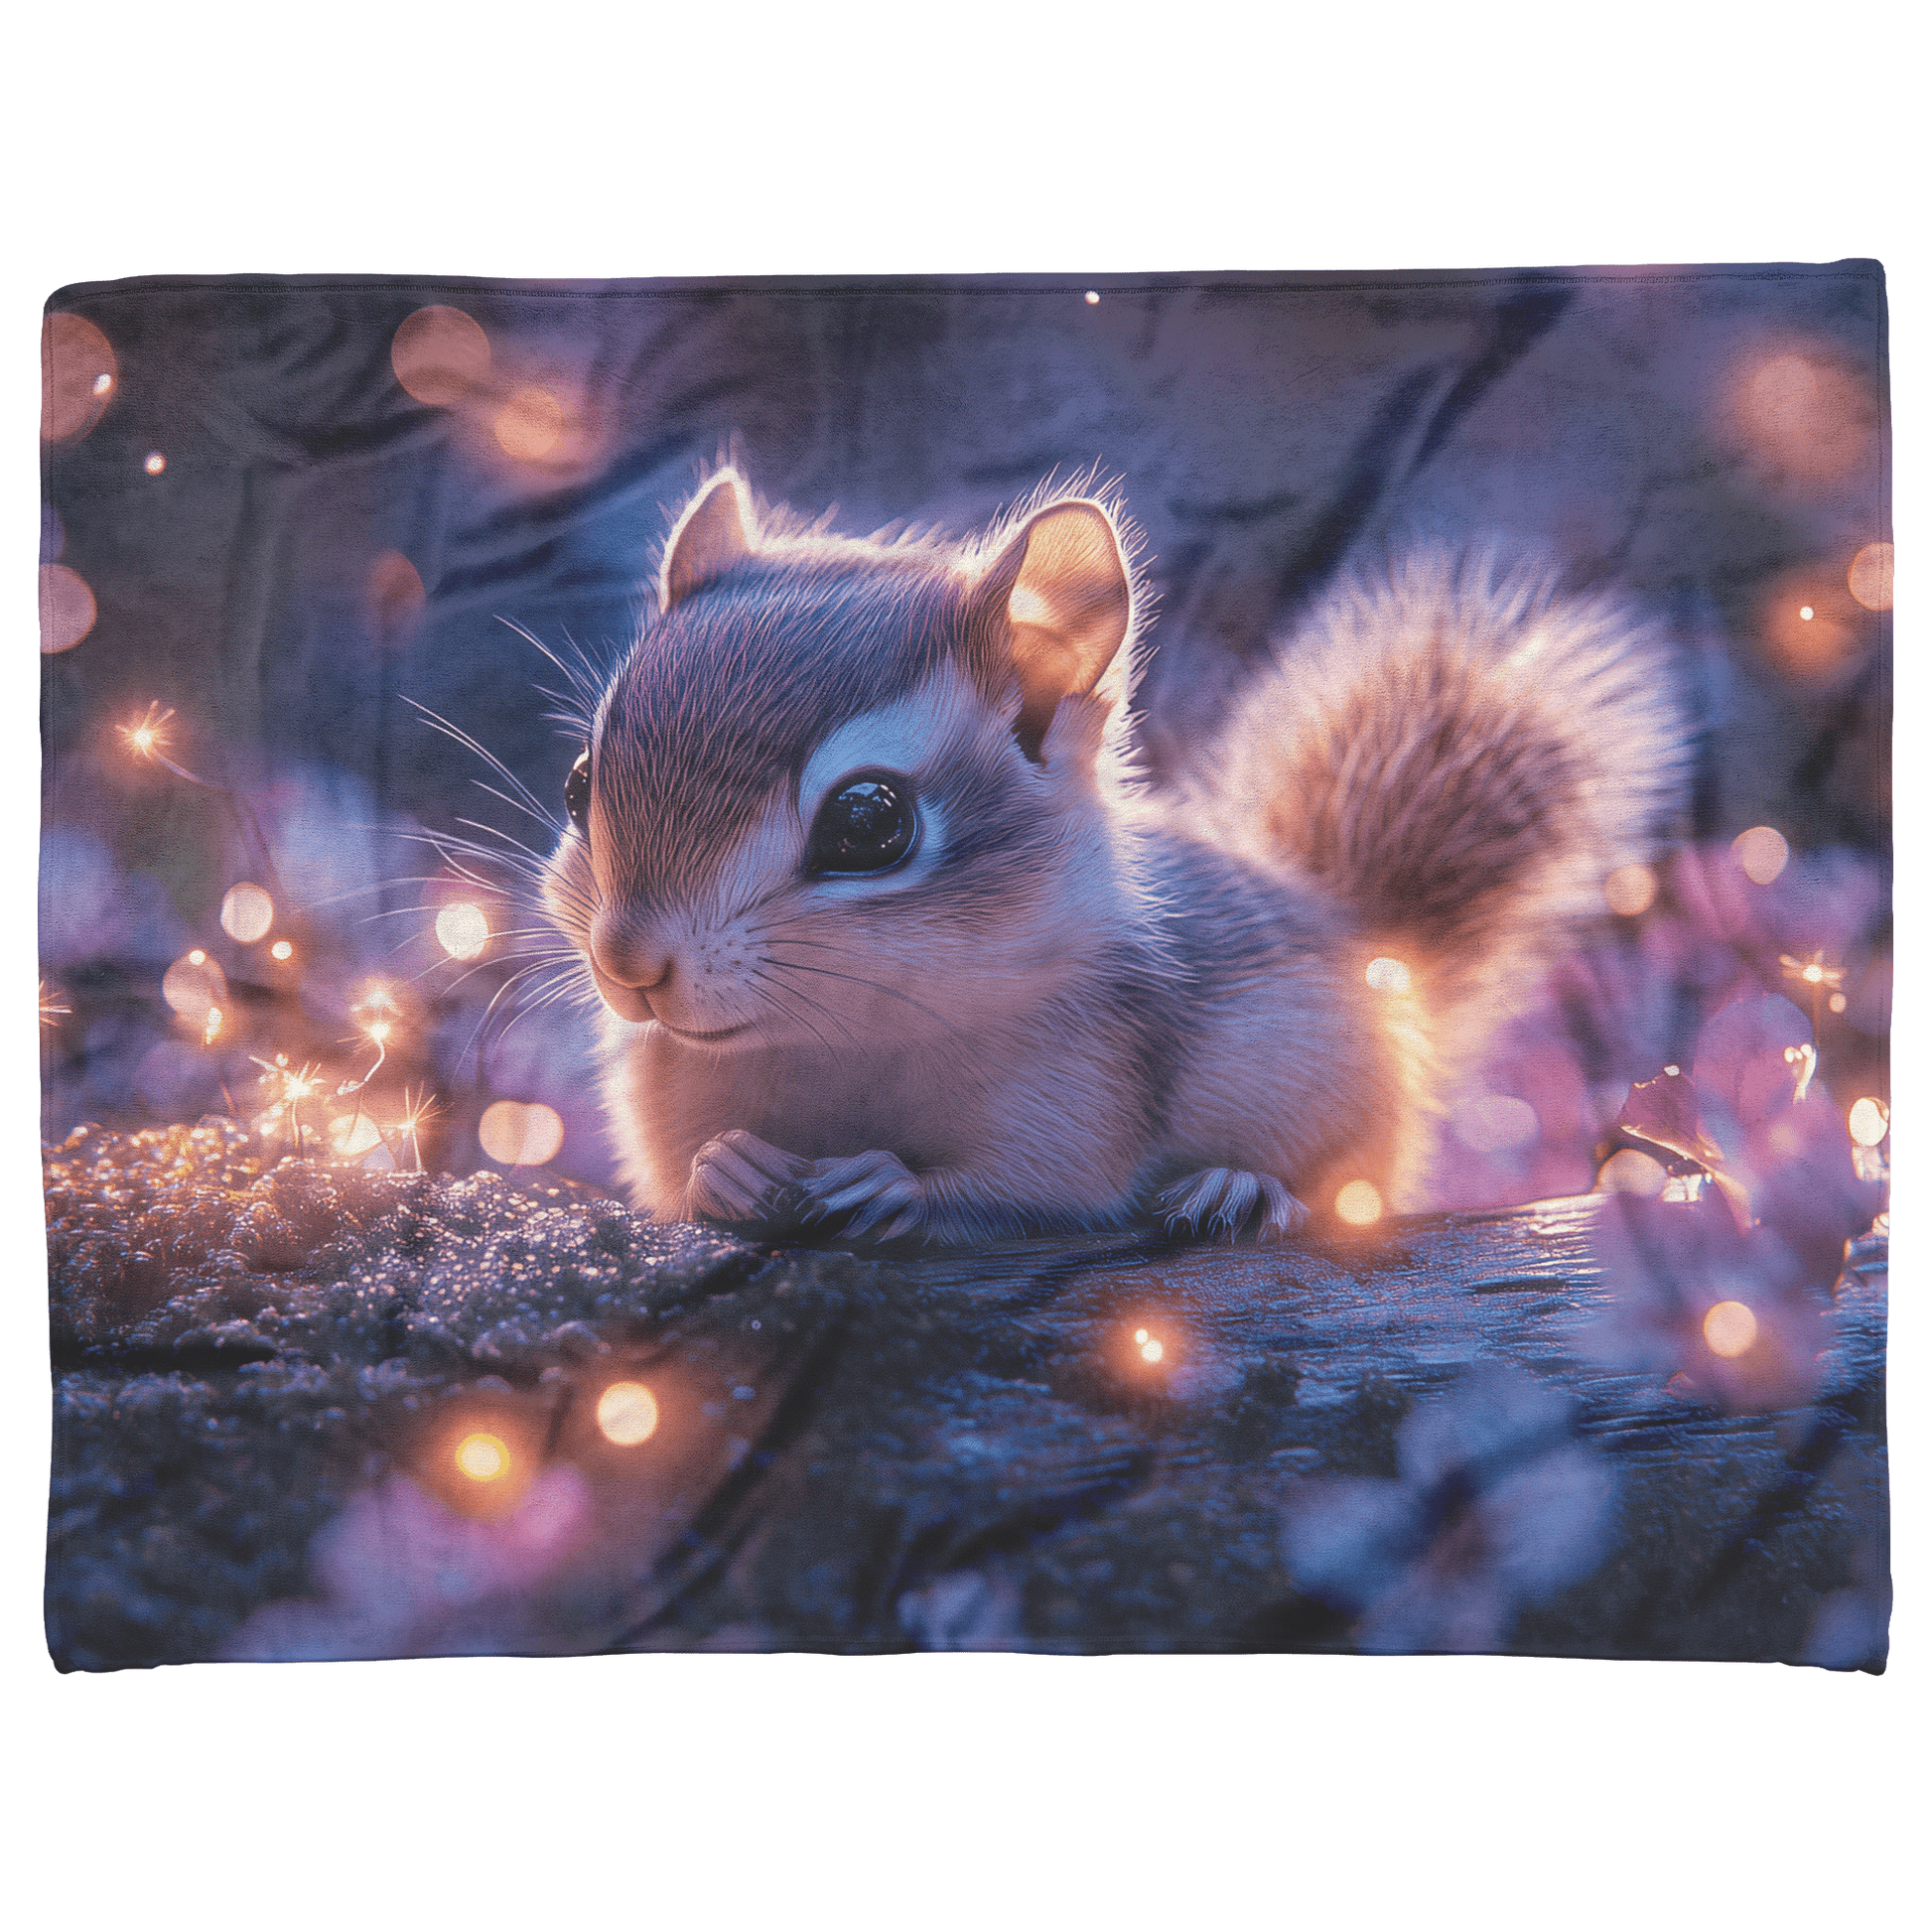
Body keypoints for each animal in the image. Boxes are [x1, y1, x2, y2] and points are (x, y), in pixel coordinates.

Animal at [540, 466, 1690, 1246]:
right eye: (577, 780)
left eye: (867, 821)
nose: (629, 964)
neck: (836, 1038)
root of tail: (1377, 952)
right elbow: (676, 1180)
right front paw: (727, 1170)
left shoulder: (1087, 1082)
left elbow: (1044, 1184)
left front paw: (891, 1181)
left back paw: (1241, 1188)